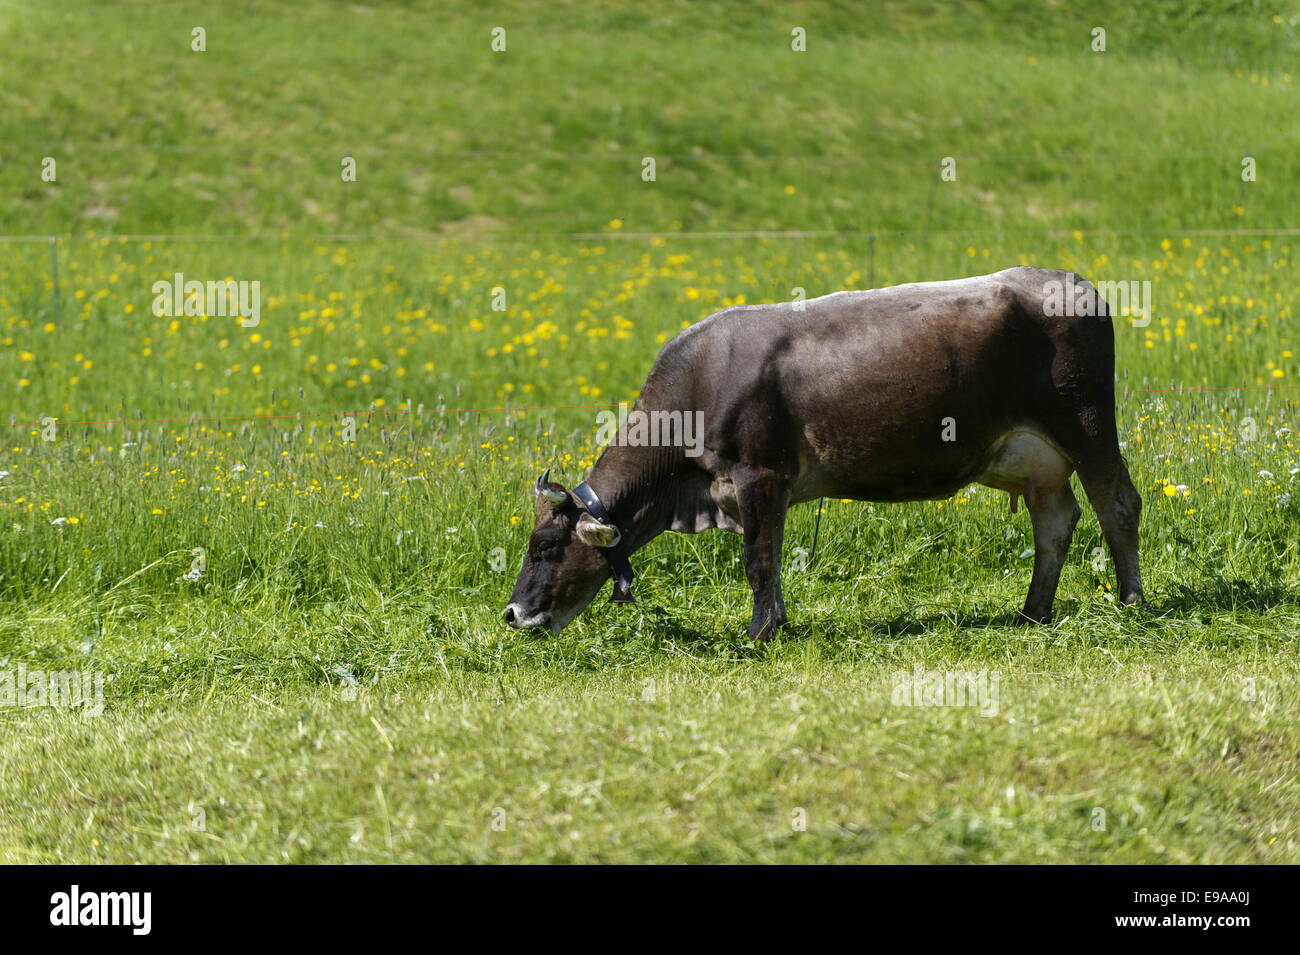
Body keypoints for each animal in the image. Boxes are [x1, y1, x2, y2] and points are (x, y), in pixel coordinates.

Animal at [505, 267, 1145, 639]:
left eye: (543, 548)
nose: (511, 615)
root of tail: (1070, 279)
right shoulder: (767, 488)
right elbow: (772, 555)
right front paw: (780, 624)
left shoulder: (759, 473)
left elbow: (759, 561)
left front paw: (758, 637)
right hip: (1036, 457)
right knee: (1055, 519)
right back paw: (1032, 611)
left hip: (1086, 424)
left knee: (1118, 504)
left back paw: (1132, 602)